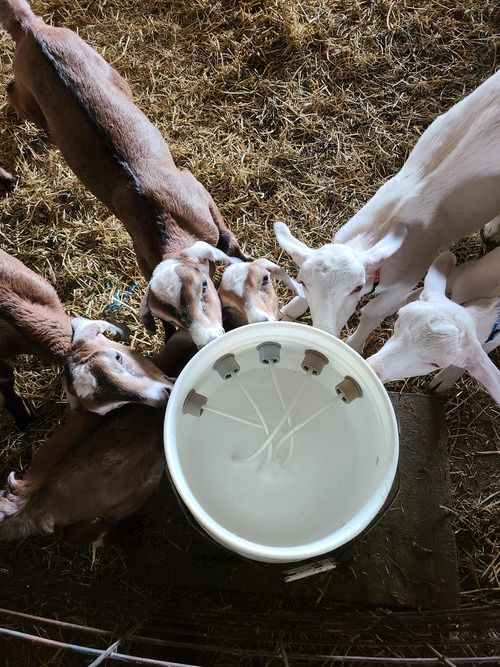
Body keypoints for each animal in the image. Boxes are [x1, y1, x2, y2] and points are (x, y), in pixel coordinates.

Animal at [0, 0, 249, 348]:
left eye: (203, 288)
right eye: (170, 318)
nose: (208, 339)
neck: (168, 222)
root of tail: (31, 28)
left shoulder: (195, 187)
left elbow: (227, 237)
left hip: (95, 61)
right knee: (12, 89)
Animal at [0, 332, 196, 545]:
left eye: (118, 357)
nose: (166, 393)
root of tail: (31, 502)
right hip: (135, 494)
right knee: (86, 533)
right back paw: (132, 529)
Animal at [275, 68, 500, 353]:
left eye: (357, 287)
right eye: (303, 281)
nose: (324, 332)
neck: (375, 233)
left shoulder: (408, 277)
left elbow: (372, 312)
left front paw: (355, 343)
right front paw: (291, 309)